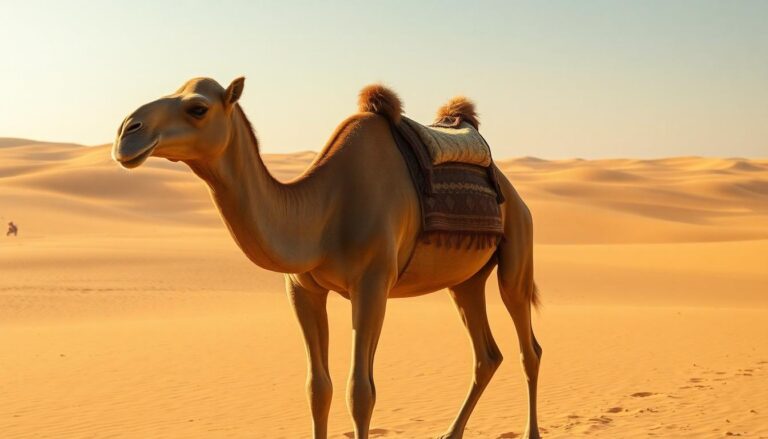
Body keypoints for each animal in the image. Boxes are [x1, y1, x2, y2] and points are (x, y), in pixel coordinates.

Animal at [112, 77, 542, 439]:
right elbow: (318, 388)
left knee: (528, 347)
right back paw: (450, 433)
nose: (126, 132)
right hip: (464, 280)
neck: (324, 210)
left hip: (518, 246)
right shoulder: (302, 289)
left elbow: (361, 392)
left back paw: (530, 431)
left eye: (198, 108)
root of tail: (513, 192)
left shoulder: (372, 286)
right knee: (486, 354)